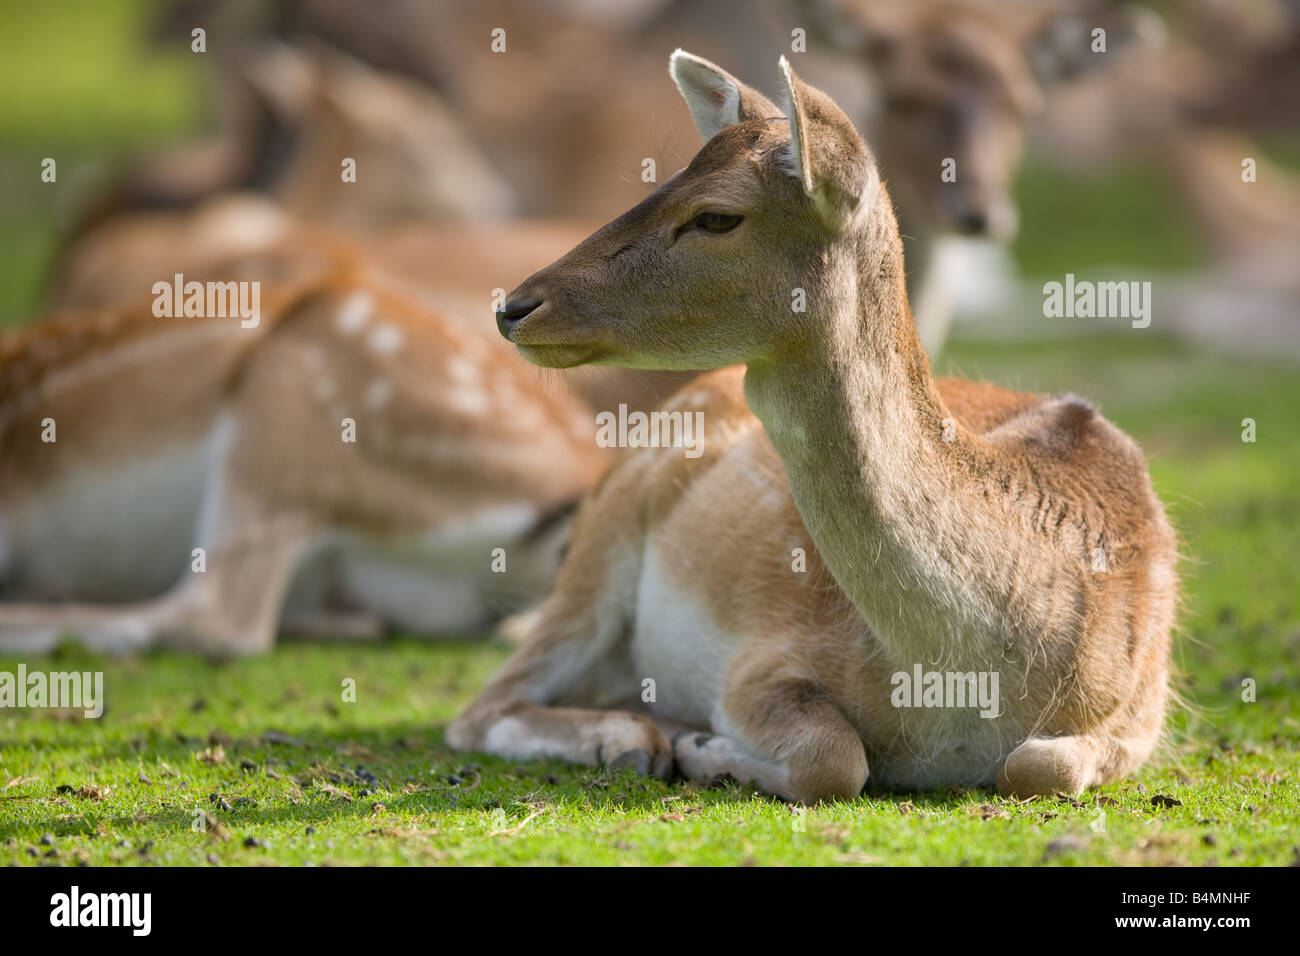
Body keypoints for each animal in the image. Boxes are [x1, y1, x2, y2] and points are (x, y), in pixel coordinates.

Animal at [447, 51, 1178, 801]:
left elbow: (1040, 764)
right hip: (600, 540)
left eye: (716, 216)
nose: (516, 306)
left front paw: (697, 742)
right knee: (481, 709)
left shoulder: (1144, 708)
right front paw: (702, 744)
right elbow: (835, 760)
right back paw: (631, 737)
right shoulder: (759, 658)